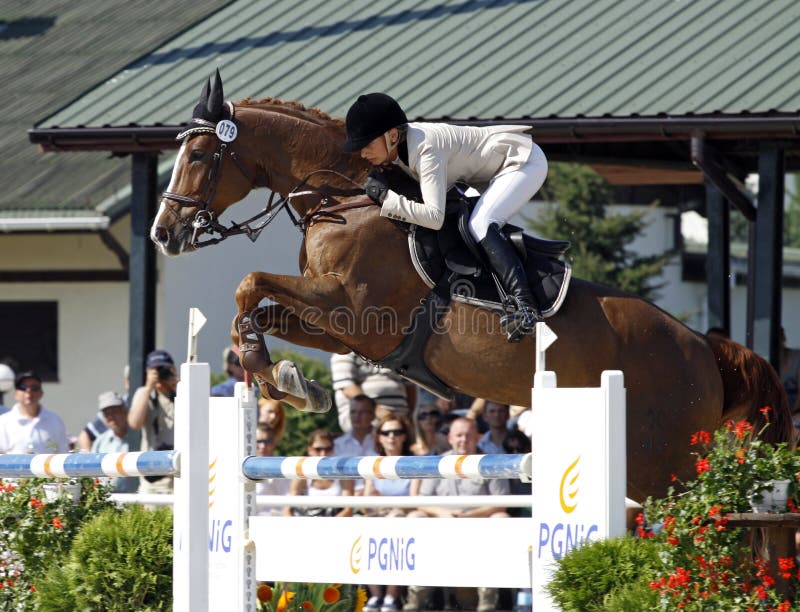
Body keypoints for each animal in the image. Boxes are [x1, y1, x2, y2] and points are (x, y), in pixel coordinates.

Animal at [151, 71, 792, 503]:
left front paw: (277, 376)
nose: (163, 234)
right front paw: (286, 382)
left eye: (201, 154)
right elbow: (255, 312)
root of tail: (705, 347)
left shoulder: (352, 309)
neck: (346, 200)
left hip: (664, 463)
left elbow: (247, 283)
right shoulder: (347, 332)